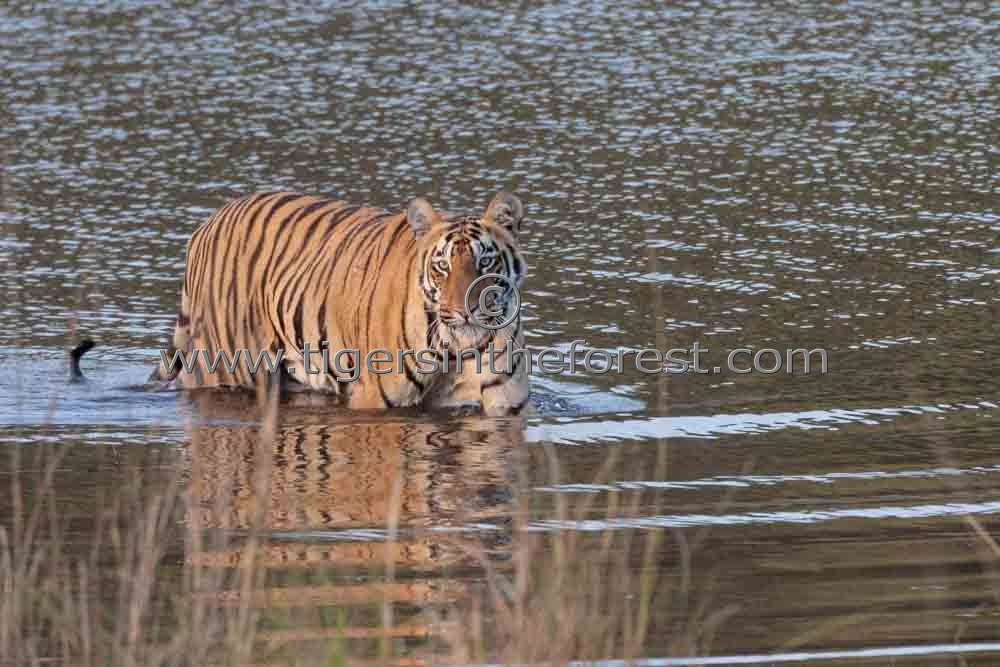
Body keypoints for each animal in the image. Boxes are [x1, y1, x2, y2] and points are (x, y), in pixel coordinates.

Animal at [152, 191, 530, 415]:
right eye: (442, 267)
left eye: (485, 262)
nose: (465, 311)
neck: (457, 349)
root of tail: (206, 225)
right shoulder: (374, 401)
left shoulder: (507, 404)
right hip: (222, 367)